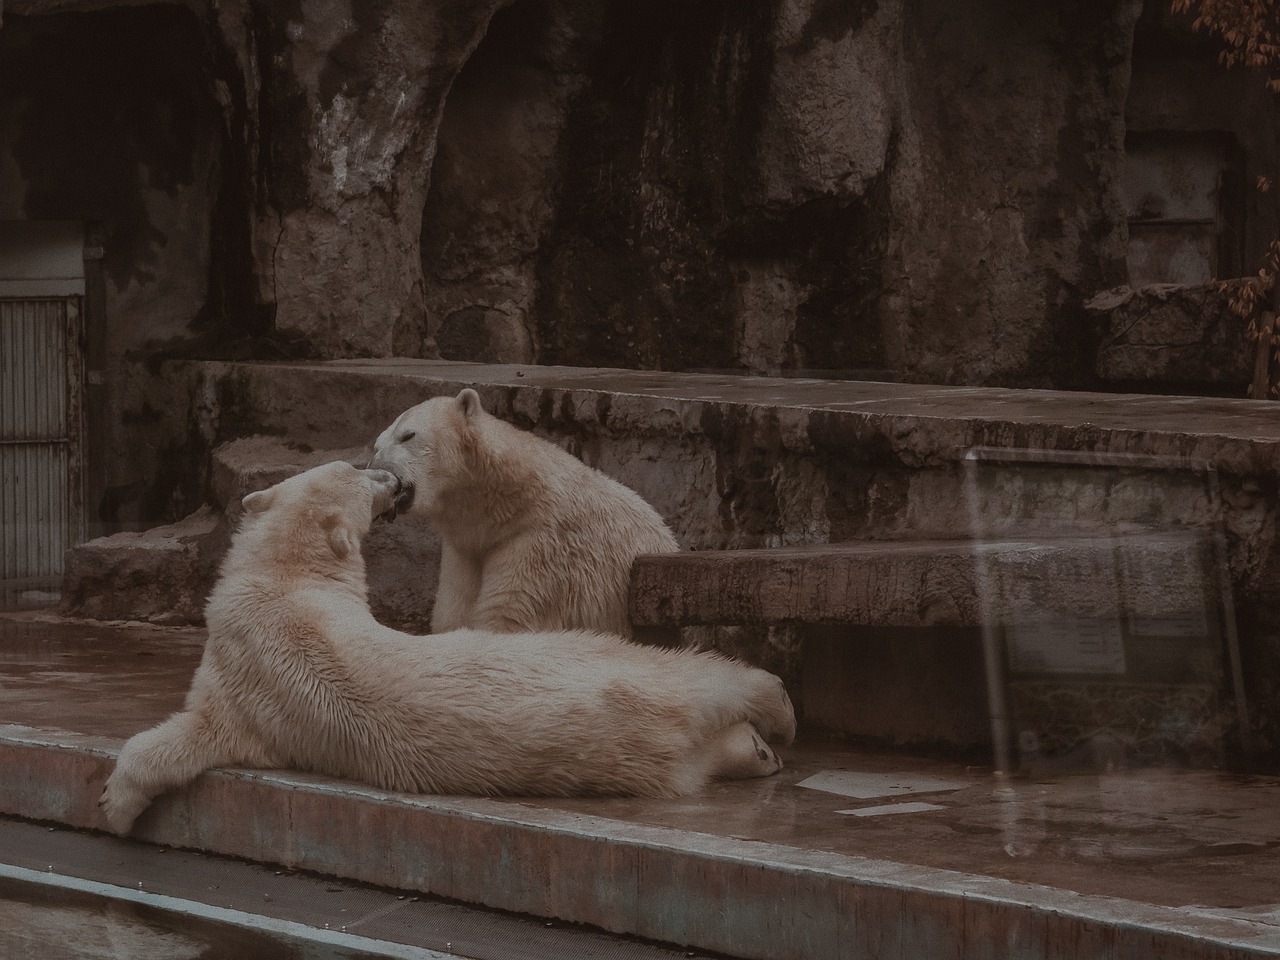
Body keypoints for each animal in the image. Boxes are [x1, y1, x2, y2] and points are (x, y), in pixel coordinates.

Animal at [98, 461, 795, 835]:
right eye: (362, 475)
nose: (388, 475)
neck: (287, 581)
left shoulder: (240, 667)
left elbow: (184, 733)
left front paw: (113, 801)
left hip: (591, 653)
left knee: (701, 671)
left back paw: (779, 709)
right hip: (635, 742)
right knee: (691, 741)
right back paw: (756, 749)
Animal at [368, 388, 678, 637]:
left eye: (408, 435)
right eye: (376, 445)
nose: (376, 467)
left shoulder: (542, 544)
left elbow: (510, 615)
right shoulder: (465, 550)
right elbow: (454, 612)